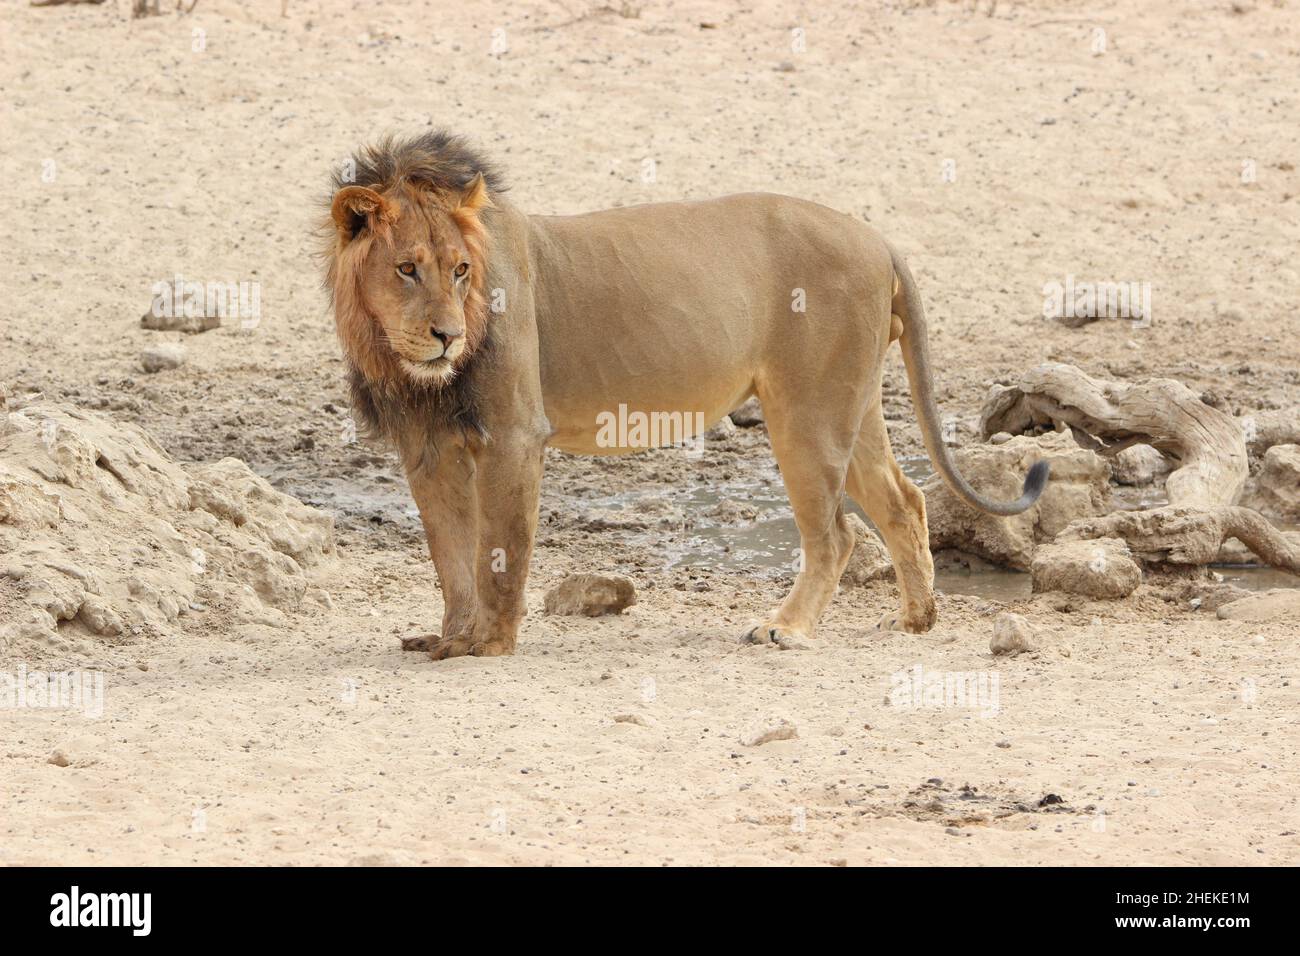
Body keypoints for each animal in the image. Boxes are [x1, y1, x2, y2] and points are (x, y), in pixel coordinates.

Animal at [323, 131, 1048, 658]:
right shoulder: (426, 450)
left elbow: (500, 548)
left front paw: (490, 645)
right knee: (904, 501)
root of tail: (878, 237)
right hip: (855, 402)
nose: (446, 335)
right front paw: (448, 639)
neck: (412, 370)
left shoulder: (513, 433)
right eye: (407, 269)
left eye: (461, 271)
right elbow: (450, 553)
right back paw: (916, 619)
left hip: (807, 411)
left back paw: (786, 628)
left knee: (837, 534)